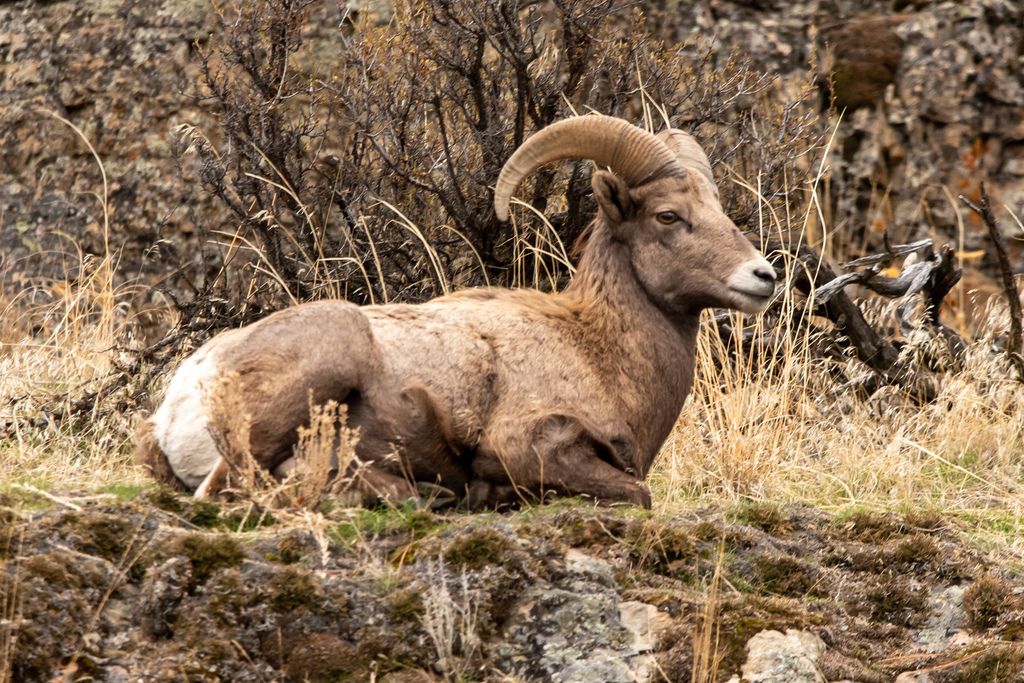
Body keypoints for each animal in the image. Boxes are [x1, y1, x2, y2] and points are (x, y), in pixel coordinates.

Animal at [134, 114, 777, 509]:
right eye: (668, 216)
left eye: (718, 208)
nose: (763, 276)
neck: (599, 350)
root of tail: (183, 395)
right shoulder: (527, 446)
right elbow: (636, 495)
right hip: (324, 358)